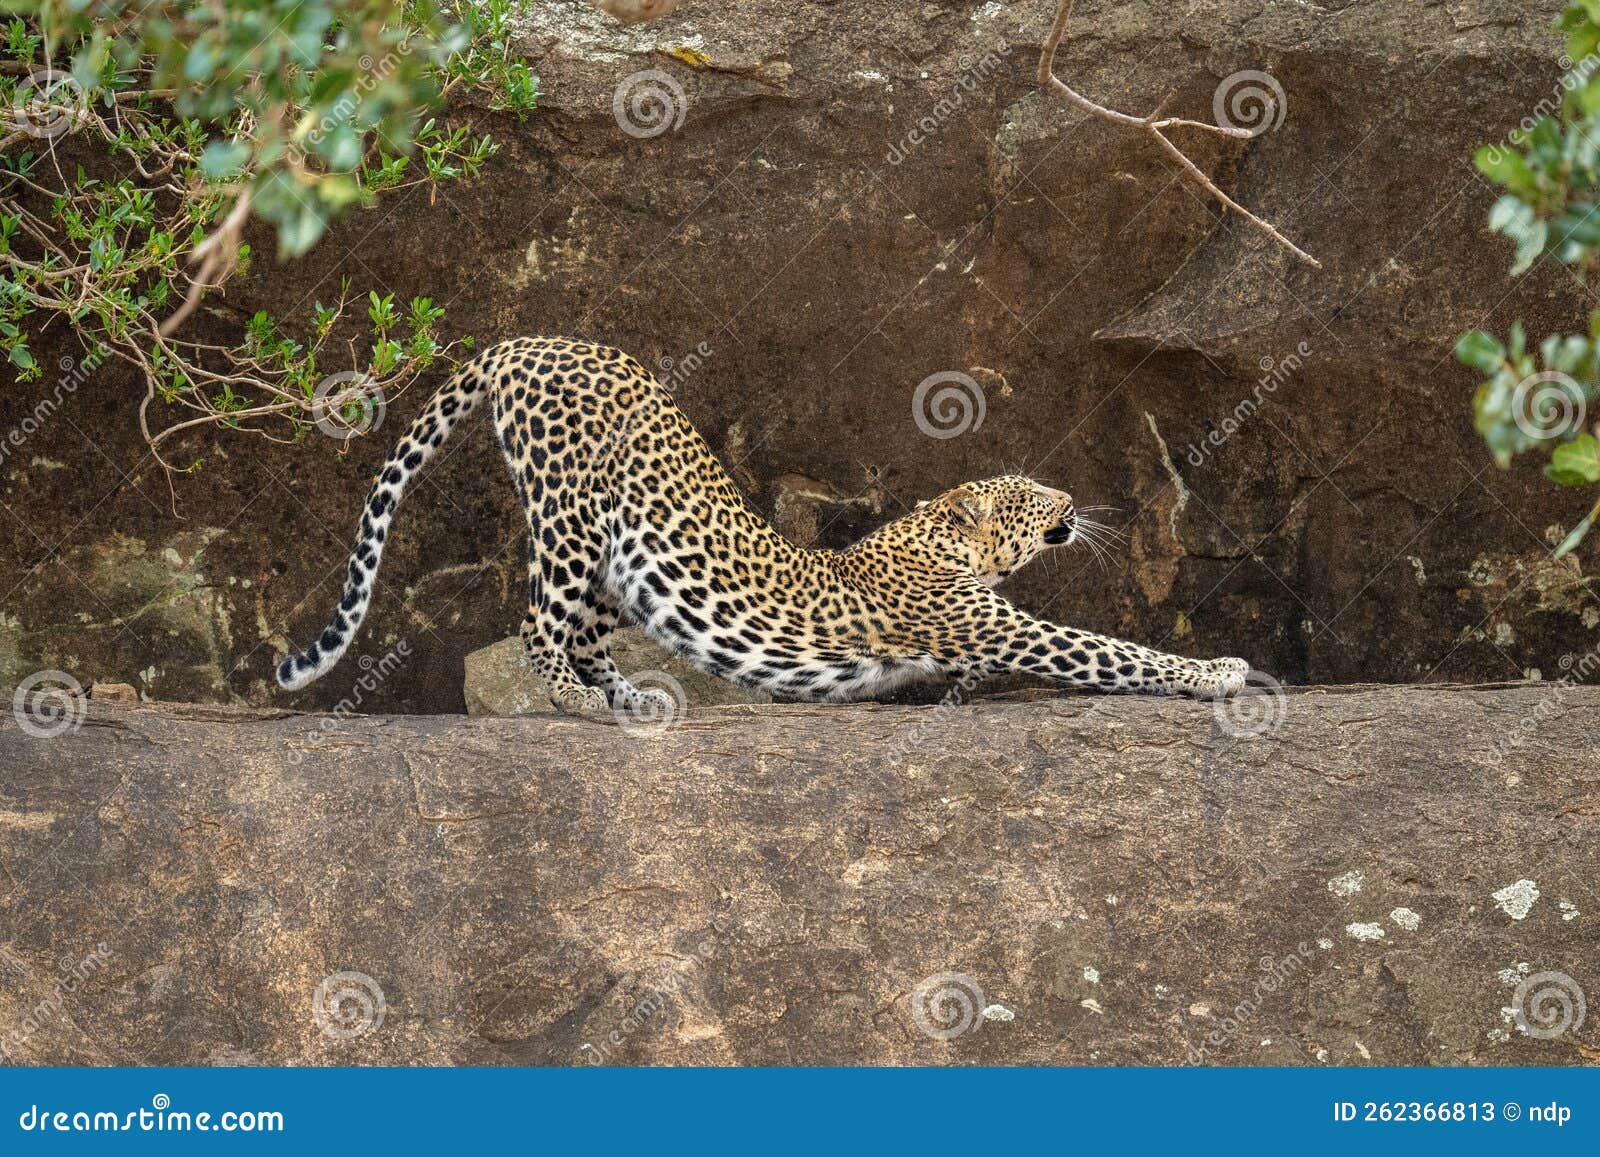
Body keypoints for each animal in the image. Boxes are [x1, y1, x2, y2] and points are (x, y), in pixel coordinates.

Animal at [276, 336, 1253, 715]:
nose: (1069, 502)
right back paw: (575, 700)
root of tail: (534, 341)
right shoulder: (993, 626)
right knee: (536, 624)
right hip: (567, 516)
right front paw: (1219, 671)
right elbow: (1113, 650)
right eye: (1023, 494)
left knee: (586, 632)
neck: (938, 538)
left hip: (618, 559)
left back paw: (630, 697)